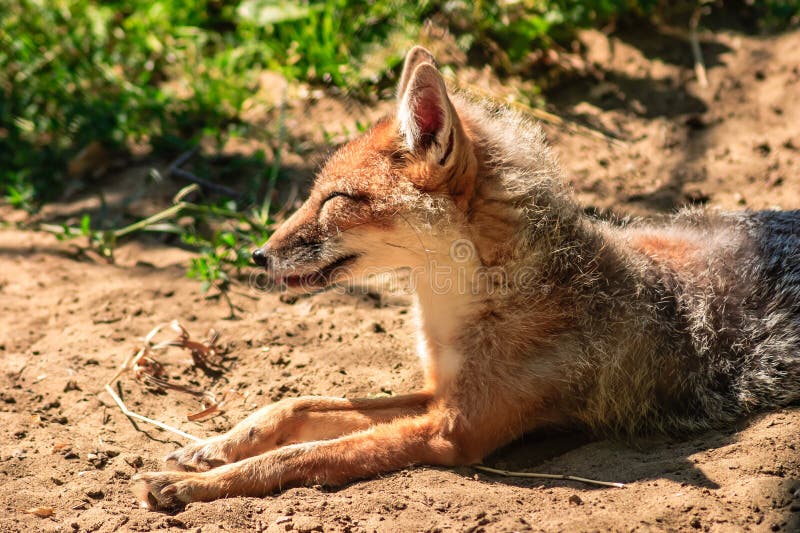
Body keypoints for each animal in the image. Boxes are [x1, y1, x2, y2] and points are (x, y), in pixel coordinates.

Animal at [133, 46, 800, 509]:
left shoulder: (454, 432)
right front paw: (209, 449)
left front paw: (193, 486)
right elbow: (292, 408)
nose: (257, 255)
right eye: (312, 194)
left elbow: (306, 454)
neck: (463, 311)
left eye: (336, 200)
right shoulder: (439, 393)